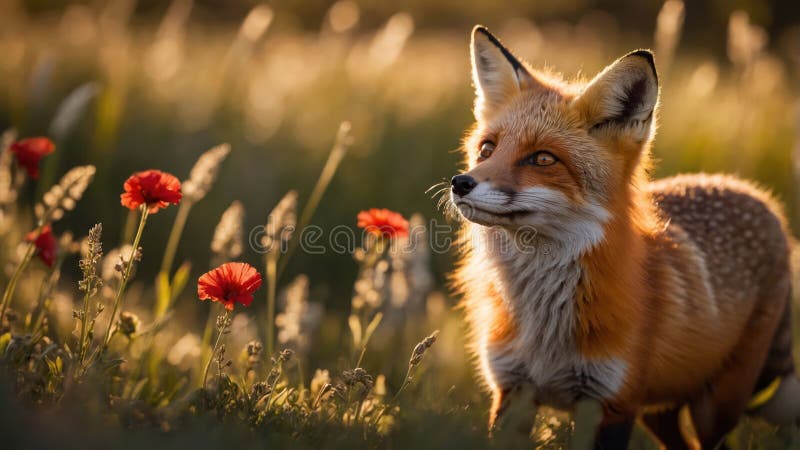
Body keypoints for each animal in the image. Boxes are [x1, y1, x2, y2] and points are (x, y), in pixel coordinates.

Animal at [450, 25, 800, 449]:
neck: (544, 329)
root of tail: (759, 197)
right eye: (487, 149)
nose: (460, 183)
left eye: (543, 159)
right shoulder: (512, 392)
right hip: (659, 412)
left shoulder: (611, 404)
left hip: (716, 407)